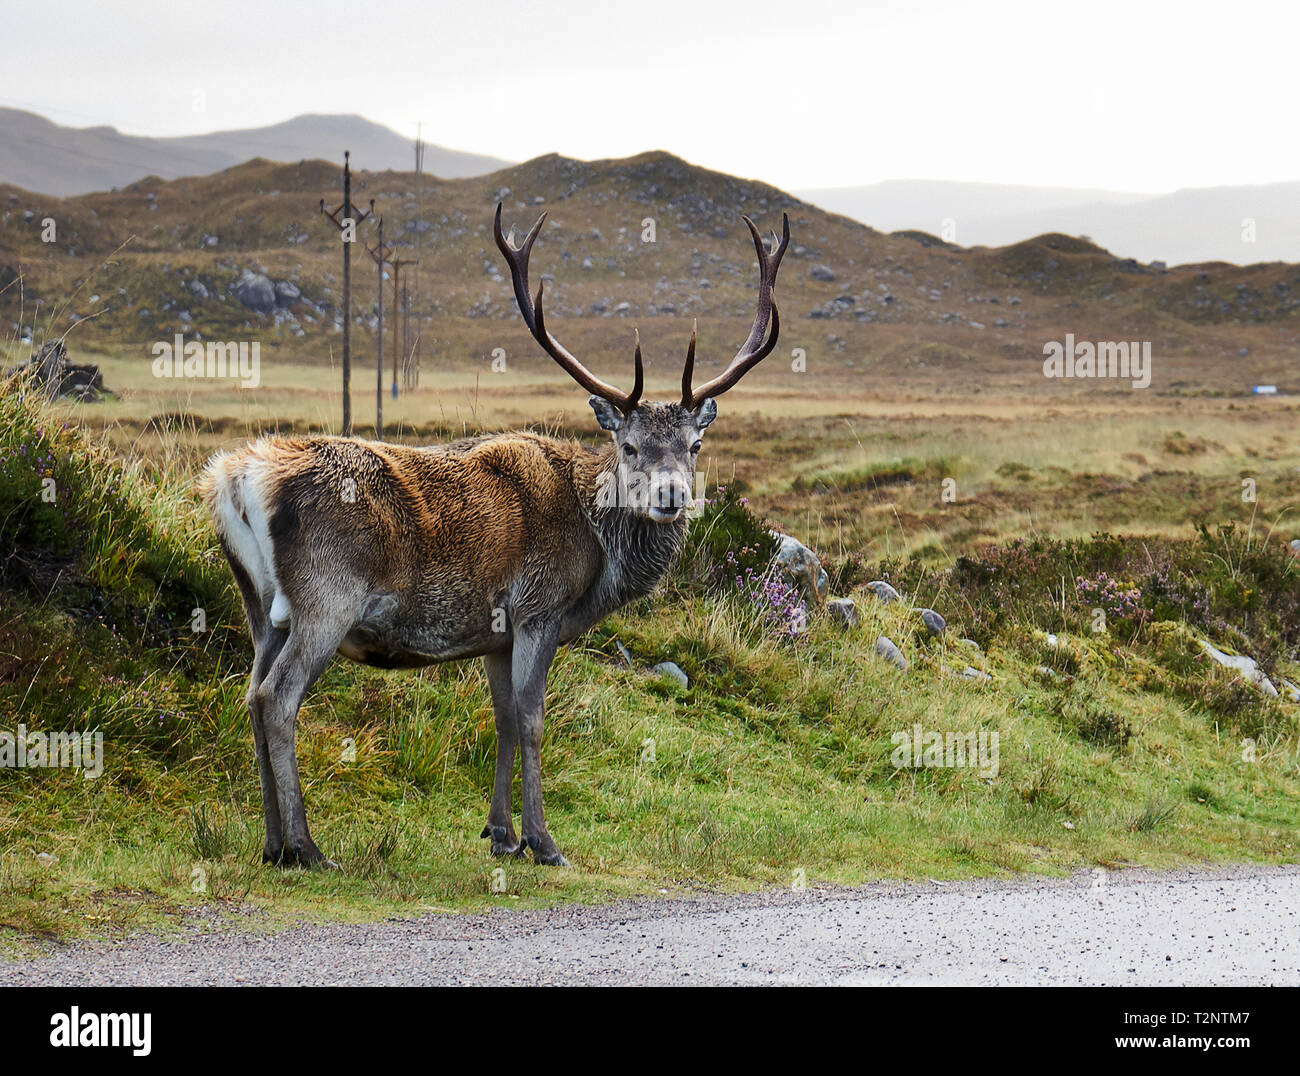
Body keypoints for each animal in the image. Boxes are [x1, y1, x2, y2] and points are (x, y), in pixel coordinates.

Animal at [198, 203, 790, 869]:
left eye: (695, 445)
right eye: (630, 446)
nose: (670, 497)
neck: (598, 558)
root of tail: (236, 477)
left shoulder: (494, 633)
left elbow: (503, 718)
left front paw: (501, 834)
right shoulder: (538, 608)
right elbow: (532, 718)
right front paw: (544, 841)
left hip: (259, 604)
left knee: (250, 692)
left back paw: (273, 842)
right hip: (326, 597)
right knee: (278, 697)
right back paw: (306, 845)